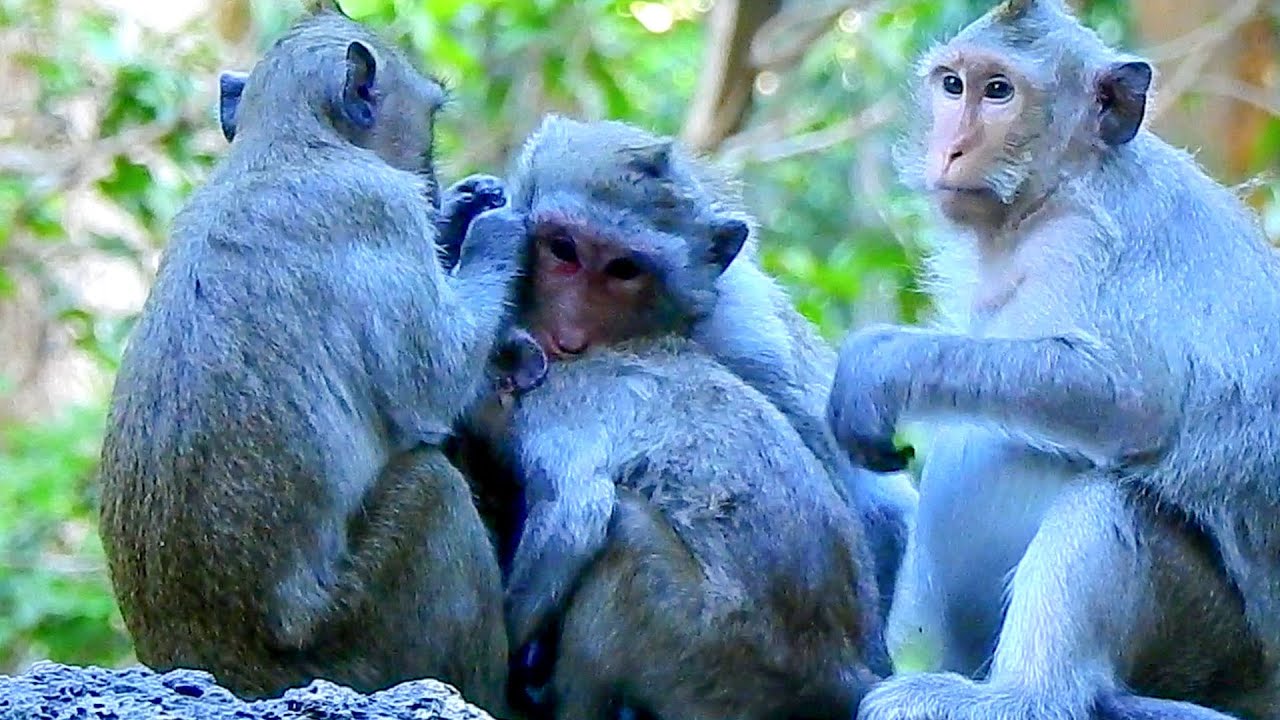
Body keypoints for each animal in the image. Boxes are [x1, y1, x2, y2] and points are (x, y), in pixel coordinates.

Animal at [97, 5, 535, 709]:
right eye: (430, 117)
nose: (434, 180)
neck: (289, 142)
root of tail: (235, 679)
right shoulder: (379, 210)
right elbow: (434, 384)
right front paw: (492, 230)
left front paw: (464, 209)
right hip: (356, 633)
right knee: (433, 488)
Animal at [471, 202, 885, 719]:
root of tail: (840, 672)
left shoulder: (552, 421)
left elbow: (576, 515)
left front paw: (508, 632)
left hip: (716, 651)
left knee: (626, 532)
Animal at [826, 1, 1280, 719]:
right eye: (953, 85)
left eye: (999, 91)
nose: (951, 149)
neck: (1058, 185)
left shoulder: (1084, 241)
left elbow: (1130, 396)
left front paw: (876, 366)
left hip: (1212, 639)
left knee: (1108, 502)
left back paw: (1024, 696)